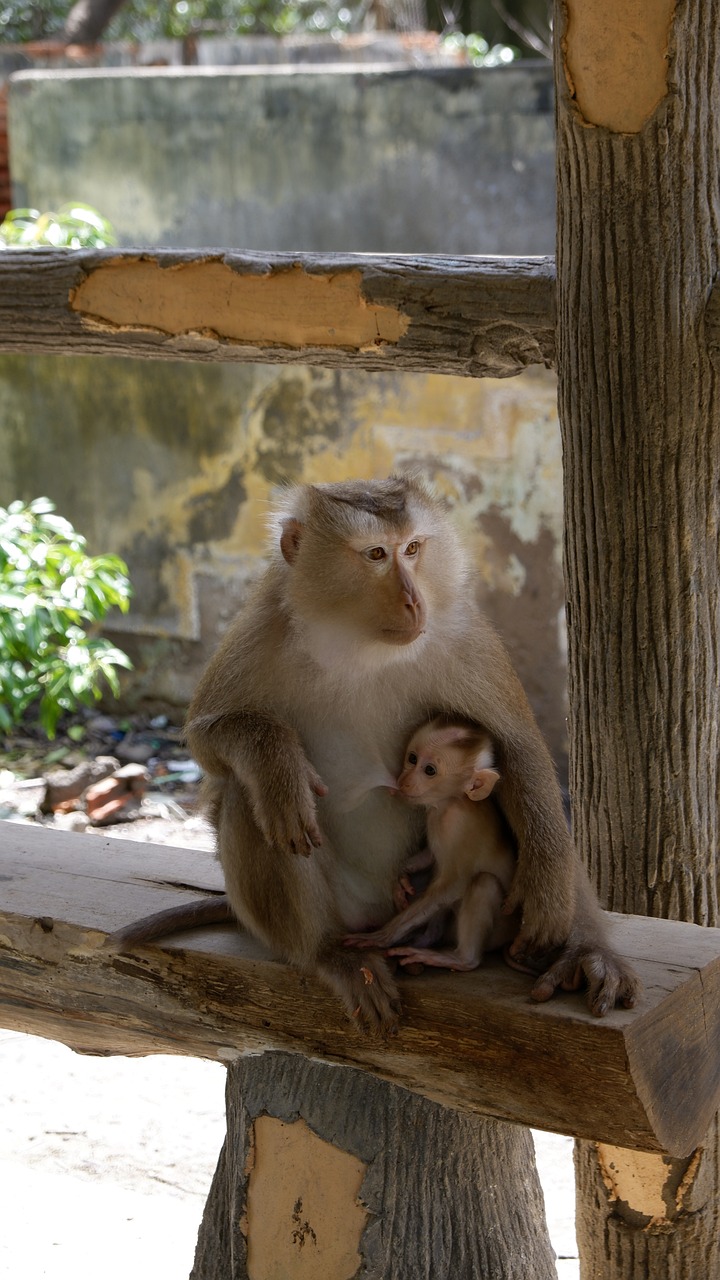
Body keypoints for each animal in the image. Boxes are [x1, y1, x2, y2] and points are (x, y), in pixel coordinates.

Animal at [344, 717, 523, 971]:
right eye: (412, 758)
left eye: (430, 770)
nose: (404, 781)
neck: (449, 803)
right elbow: (431, 857)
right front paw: (401, 877)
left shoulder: (459, 824)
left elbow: (452, 886)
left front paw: (382, 936)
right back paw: (428, 938)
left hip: (501, 927)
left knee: (483, 882)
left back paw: (459, 959)